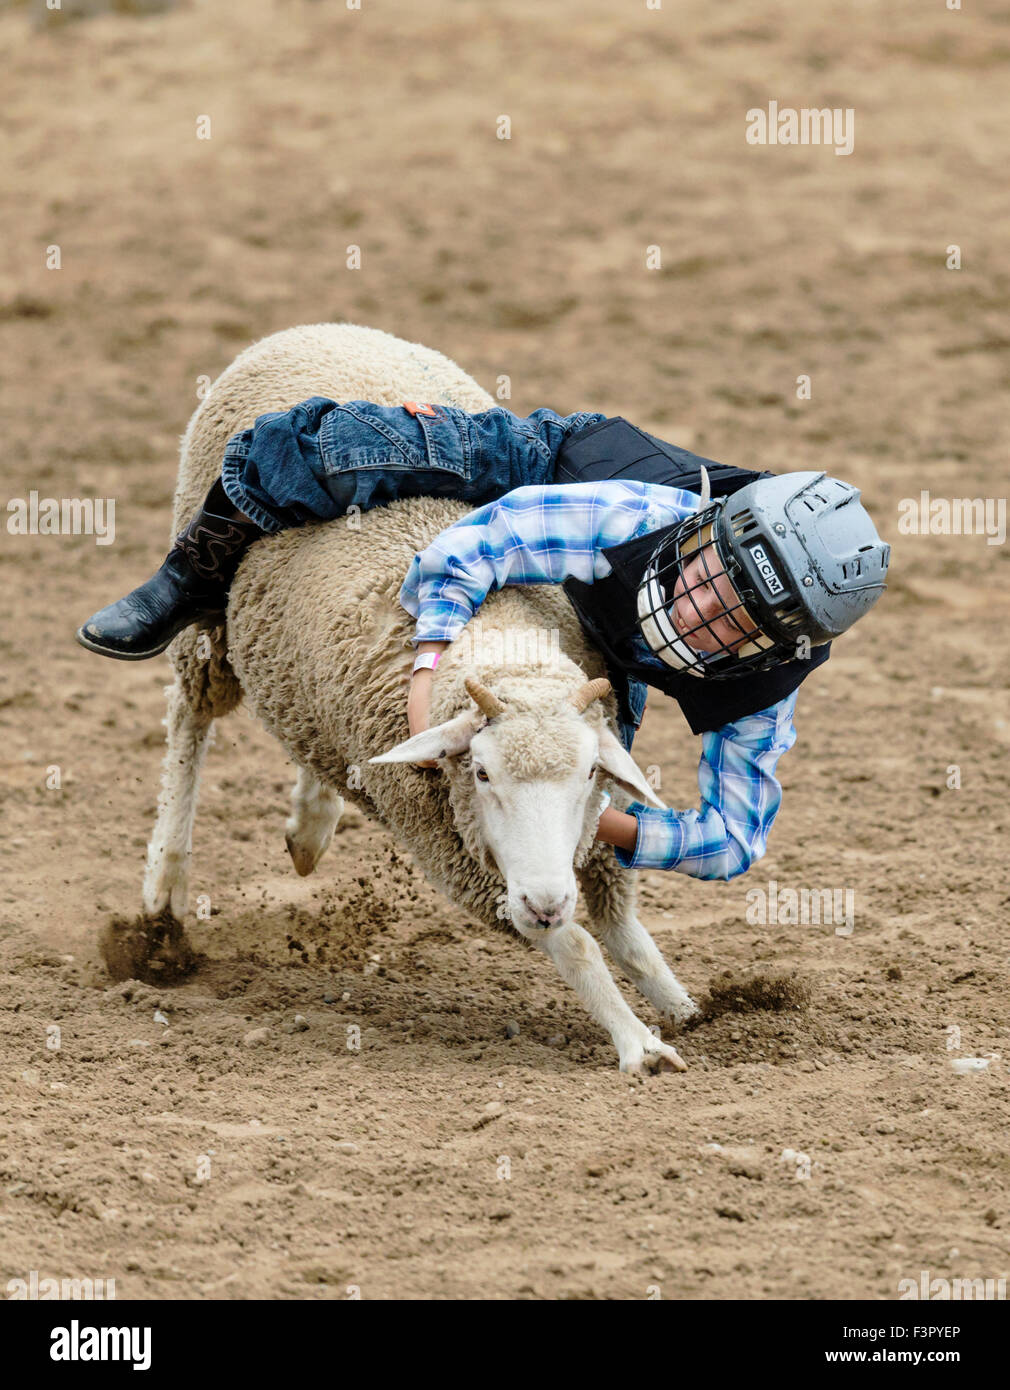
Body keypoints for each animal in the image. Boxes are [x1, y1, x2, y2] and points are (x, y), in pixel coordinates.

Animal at [126, 322, 697, 1073]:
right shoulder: (463, 857)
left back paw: (311, 824)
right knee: (189, 722)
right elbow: (575, 943)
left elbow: (624, 927)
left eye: (586, 778)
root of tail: (319, 327)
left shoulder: (582, 838)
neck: (506, 647)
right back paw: (164, 895)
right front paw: (638, 1041)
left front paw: (685, 1006)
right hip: (212, 629)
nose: (546, 900)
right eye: (479, 773)